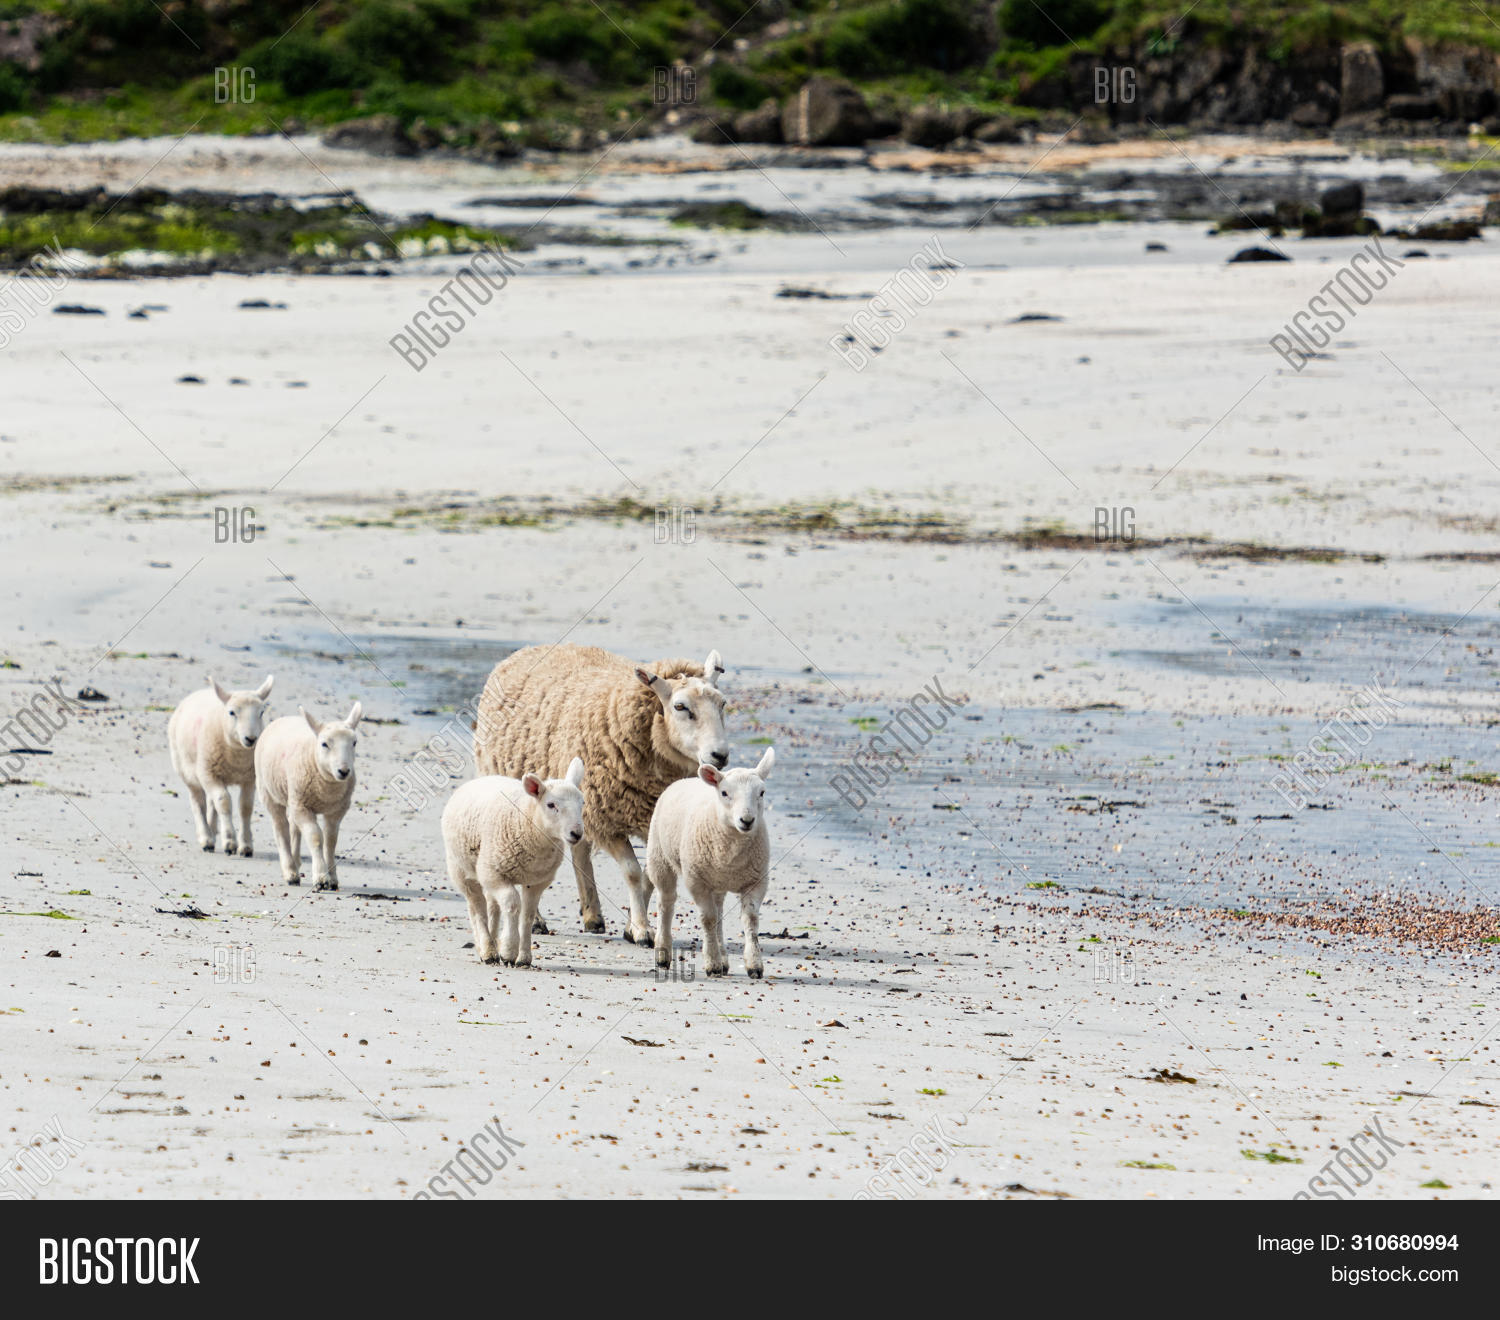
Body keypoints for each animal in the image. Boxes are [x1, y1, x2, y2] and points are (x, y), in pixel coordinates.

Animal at [167, 675, 274, 856]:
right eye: (232, 712)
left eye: (261, 712)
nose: (251, 739)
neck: (237, 758)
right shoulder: (207, 773)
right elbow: (224, 801)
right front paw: (230, 842)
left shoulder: (249, 778)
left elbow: (245, 807)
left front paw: (245, 845)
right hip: (188, 771)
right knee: (198, 803)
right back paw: (206, 839)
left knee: (211, 802)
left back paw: (212, 831)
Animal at [254, 702, 362, 890]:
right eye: (324, 744)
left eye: (354, 743)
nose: (344, 771)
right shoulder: (302, 806)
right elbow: (315, 837)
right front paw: (321, 877)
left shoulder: (337, 810)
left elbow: (331, 841)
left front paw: (333, 878)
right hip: (269, 792)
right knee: (280, 828)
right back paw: (290, 872)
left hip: (293, 797)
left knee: (293, 826)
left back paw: (296, 862)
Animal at [442, 758, 586, 966]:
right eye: (551, 805)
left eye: (582, 803)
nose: (576, 834)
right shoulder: (494, 873)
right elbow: (512, 904)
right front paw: (509, 951)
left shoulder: (537, 881)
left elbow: (527, 914)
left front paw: (524, 957)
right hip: (462, 868)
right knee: (477, 907)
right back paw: (487, 950)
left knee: (492, 906)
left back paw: (491, 942)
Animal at [473, 643, 729, 937]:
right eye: (680, 706)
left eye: (723, 704)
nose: (720, 755)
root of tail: (526, 649)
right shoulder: (607, 821)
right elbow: (632, 872)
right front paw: (641, 929)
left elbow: (648, 876)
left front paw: (632, 927)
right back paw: (537, 920)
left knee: (580, 851)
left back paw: (592, 914)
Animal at [642, 746, 776, 978]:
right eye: (724, 793)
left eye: (761, 793)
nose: (747, 821)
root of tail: (686, 779)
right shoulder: (697, 881)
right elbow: (708, 920)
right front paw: (712, 963)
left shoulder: (757, 881)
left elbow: (750, 919)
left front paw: (754, 964)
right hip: (659, 856)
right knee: (666, 901)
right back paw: (663, 954)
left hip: (717, 881)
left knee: (719, 910)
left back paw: (724, 959)